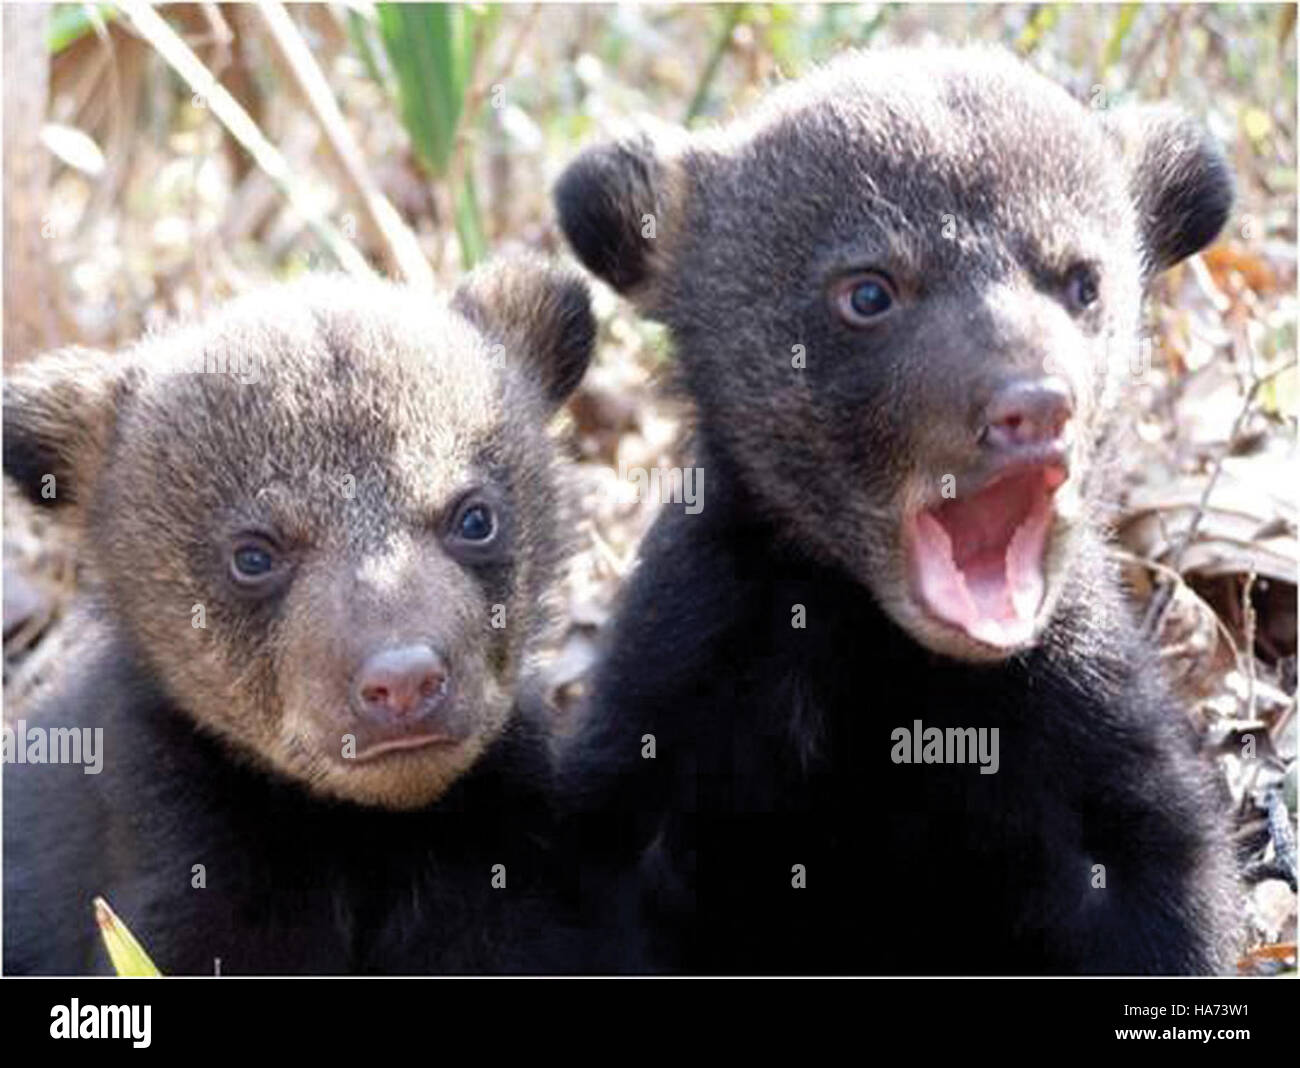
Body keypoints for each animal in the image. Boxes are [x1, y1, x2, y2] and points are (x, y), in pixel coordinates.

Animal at [553, 46, 1241, 974]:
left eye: (1081, 283)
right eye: (869, 293)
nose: (1034, 408)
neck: (888, 653)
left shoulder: (1080, 701)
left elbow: (1151, 866)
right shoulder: (691, 662)